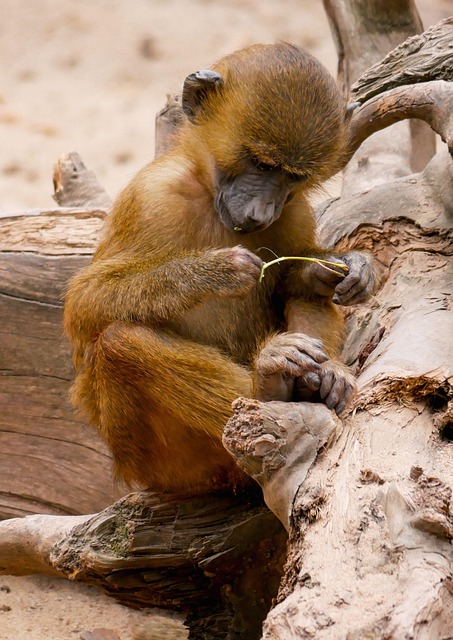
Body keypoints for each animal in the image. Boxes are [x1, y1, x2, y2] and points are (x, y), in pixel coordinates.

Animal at [64, 43, 377, 494]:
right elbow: (85, 304)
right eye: (261, 163)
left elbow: (295, 282)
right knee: (121, 340)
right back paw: (267, 380)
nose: (262, 212)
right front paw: (215, 272)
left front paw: (345, 267)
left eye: (292, 175)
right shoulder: (149, 196)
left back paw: (319, 377)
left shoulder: (294, 209)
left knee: (307, 297)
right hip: (166, 464)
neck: (209, 191)